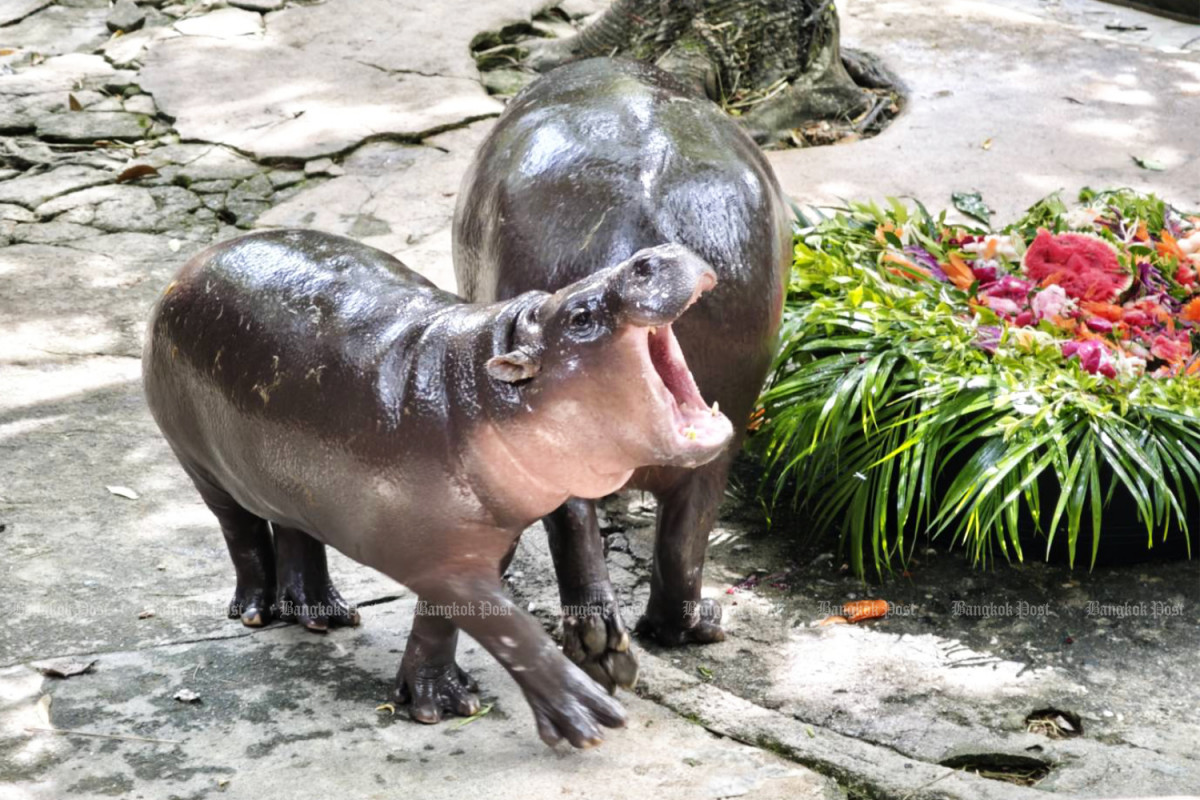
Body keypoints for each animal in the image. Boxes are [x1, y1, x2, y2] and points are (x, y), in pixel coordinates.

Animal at [142, 229, 733, 747]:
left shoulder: (484, 533)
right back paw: (257, 611)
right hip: (200, 465)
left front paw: (447, 699)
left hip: (285, 470)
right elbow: (509, 627)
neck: (486, 386)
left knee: (295, 527)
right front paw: (586, 710)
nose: (655, 254)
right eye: (580, 316)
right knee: (239, 530)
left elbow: (444, 617)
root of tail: (194, 261)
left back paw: (321, 613)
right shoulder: (439, 558)